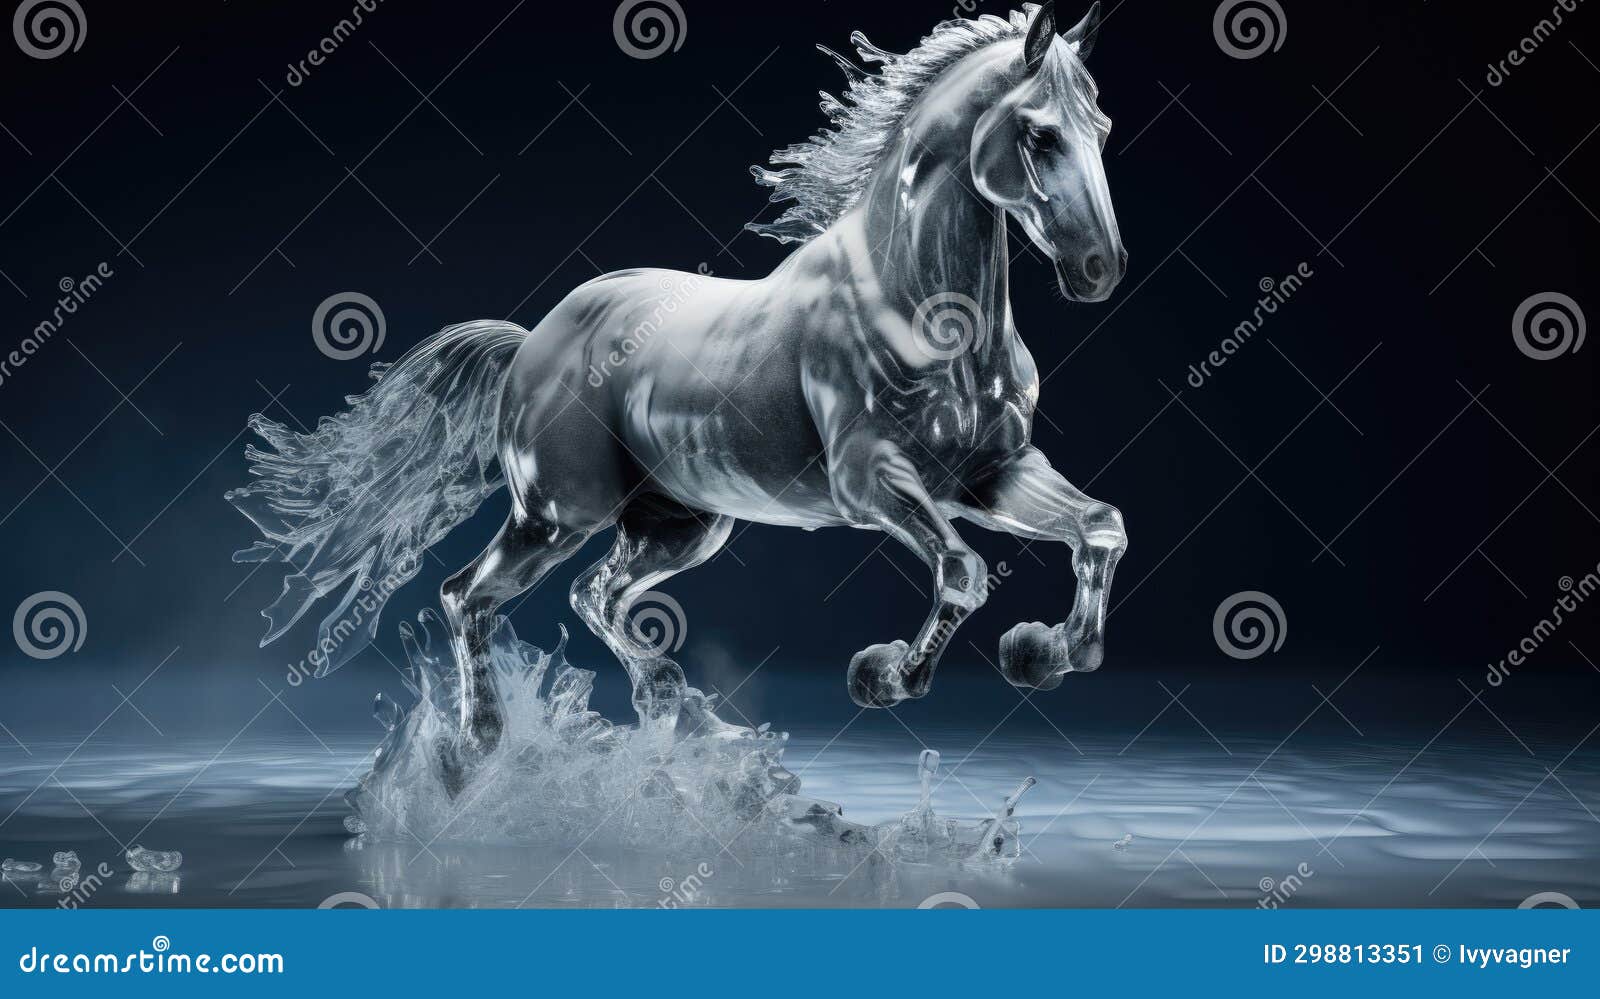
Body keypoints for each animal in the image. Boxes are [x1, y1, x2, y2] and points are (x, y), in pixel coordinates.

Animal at [228, 2, 1128, 784]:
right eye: (1039, 133)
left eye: (1103, 130)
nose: (1100, 269)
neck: (917, 311)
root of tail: (531, 343)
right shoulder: (870, 480)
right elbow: (963, 570)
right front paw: (889, 675)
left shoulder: (992, 474)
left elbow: (1099, 527)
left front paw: (1048, 652)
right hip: (559, 514)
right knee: (466, 595)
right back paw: (480, 743)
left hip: (681, 526)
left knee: (592, 593)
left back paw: (671, 705)